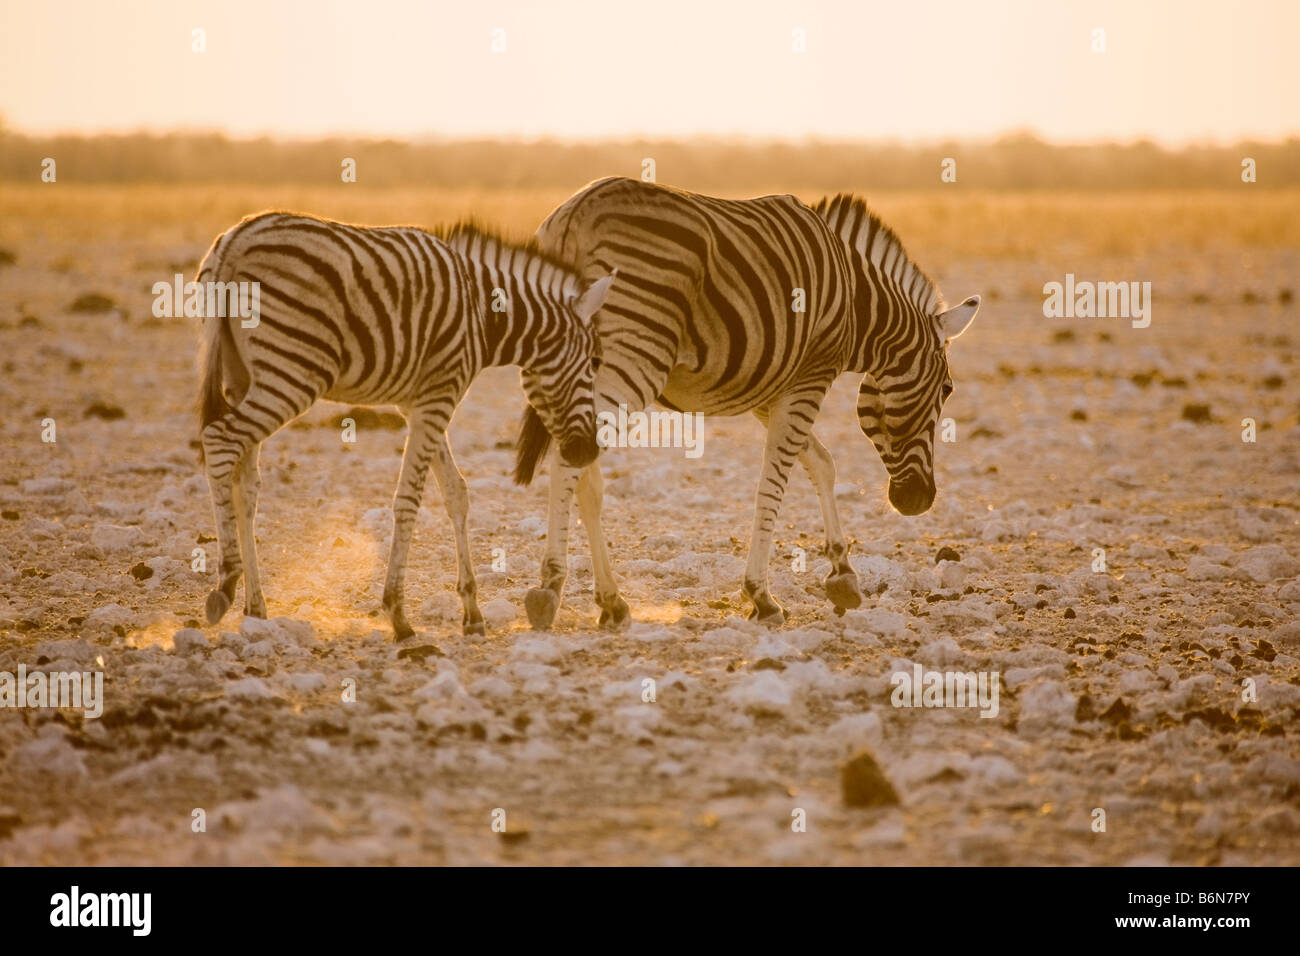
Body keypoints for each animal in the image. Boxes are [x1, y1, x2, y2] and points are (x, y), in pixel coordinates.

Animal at [195, 211, 613, 638]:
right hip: (293, 372)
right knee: (219, 440)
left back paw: (255, 607)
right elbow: (409, 499)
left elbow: (456, 493)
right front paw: (398, 612)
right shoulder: (437, 399)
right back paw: (227, 581)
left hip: (243, 376)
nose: (587, 450)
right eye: (596, 362)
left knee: (246, 483)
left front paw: (472, 611)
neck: (484, 313)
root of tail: (237, 239)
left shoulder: (421, 404)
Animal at [512, 177, 979, 629]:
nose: (919, 501)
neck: (857, 304)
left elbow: (820, 463)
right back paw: (549, 588)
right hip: (634, 358)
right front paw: (762, 596)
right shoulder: (808, 379)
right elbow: (772, 483)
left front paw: (842, 575)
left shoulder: (769, 392)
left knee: (584, 473)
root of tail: (577, 213)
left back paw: (611, 601)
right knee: (569, 461)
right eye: (947, 389)